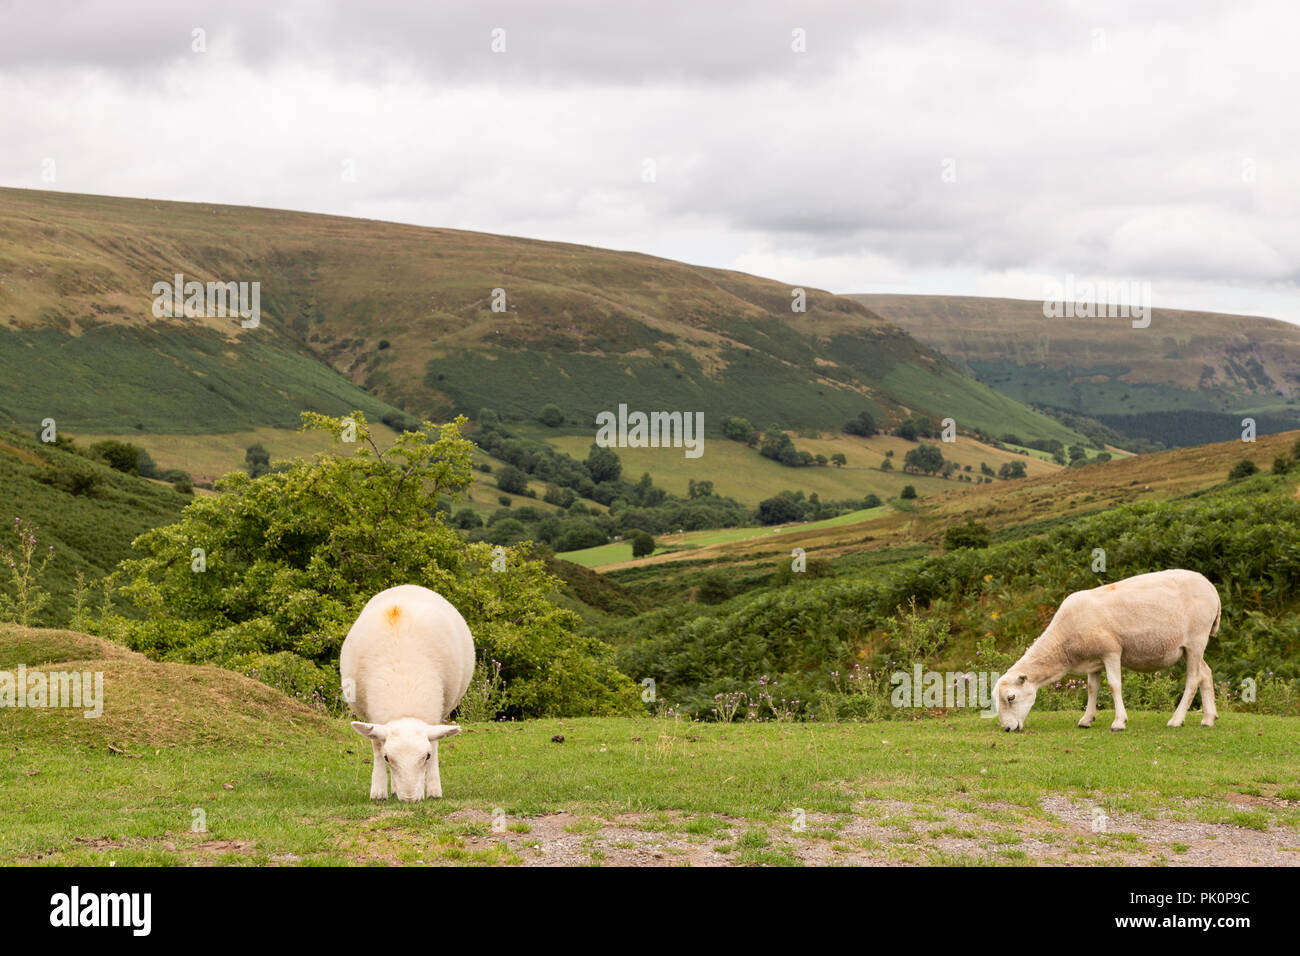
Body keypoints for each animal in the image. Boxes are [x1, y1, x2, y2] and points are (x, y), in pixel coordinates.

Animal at [340, 584, 475, 801]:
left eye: (426, 756)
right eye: (388, 758)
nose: (410, 799)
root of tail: (407, 586)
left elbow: (435, 745)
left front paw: (434, 790)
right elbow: (376, 748)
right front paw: (378, 791)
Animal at [993, 569, 1220, 732]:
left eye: (1011, 698)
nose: (1007, 728)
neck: (1063, 642)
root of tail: (1211, 588)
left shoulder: (1111, 651)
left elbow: (1113, 685)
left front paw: (1119, 722)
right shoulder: (1094, 659)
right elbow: (1092, 688)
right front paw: (1086, 719)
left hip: (1196, 639)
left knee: (1193, 679)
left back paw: (1176, 720)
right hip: (1190, 647)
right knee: (1206, 673)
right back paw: (1209, 719)